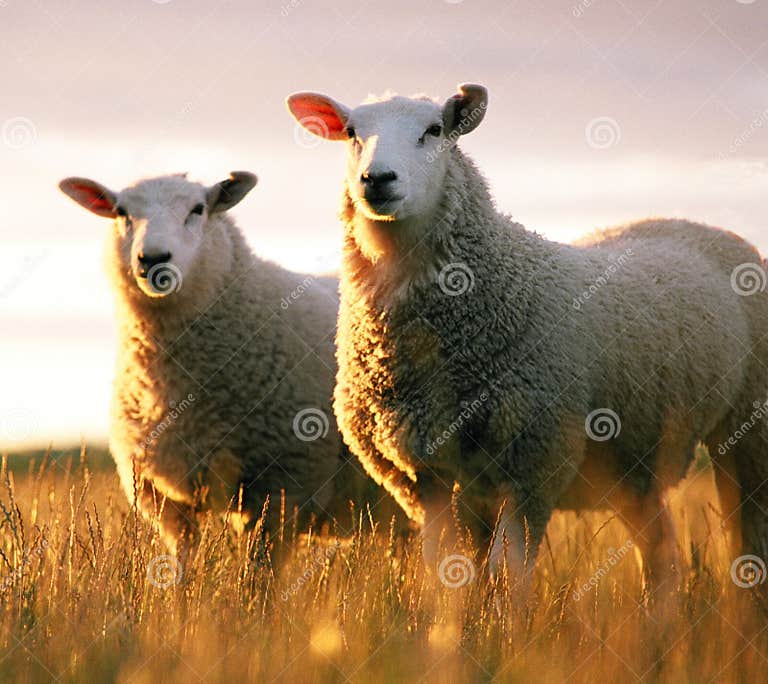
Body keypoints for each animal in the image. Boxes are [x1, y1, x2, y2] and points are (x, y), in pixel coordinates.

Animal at [287, 84, 768, 589]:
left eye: (435, 130)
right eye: (352, 133)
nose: (377, 179)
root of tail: (688, 222)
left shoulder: (534, 463)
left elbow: (507, 577)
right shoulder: (424, 474)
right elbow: (445, 571)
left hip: (748, 425)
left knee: (747, 536)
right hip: (634, 461)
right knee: (661, 556)